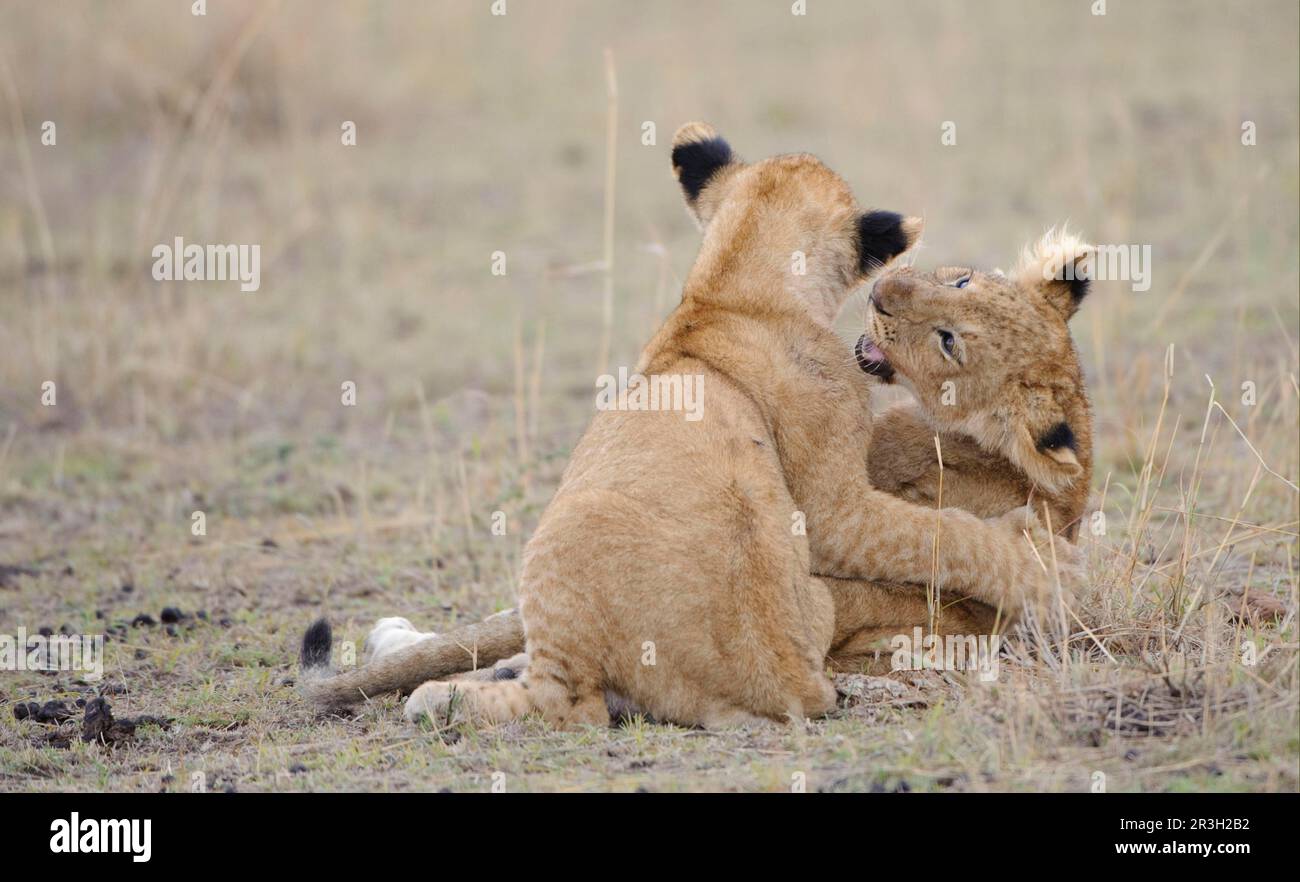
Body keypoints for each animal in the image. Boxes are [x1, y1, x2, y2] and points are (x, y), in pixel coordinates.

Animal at [301, 124, 1075, 728]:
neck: (729, 294)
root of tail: (791, 685)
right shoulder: (835, 509)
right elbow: (945, 533)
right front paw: (1034, 567)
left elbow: (946, 531)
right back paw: (441, 693)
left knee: (567, 700)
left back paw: (440, 694)